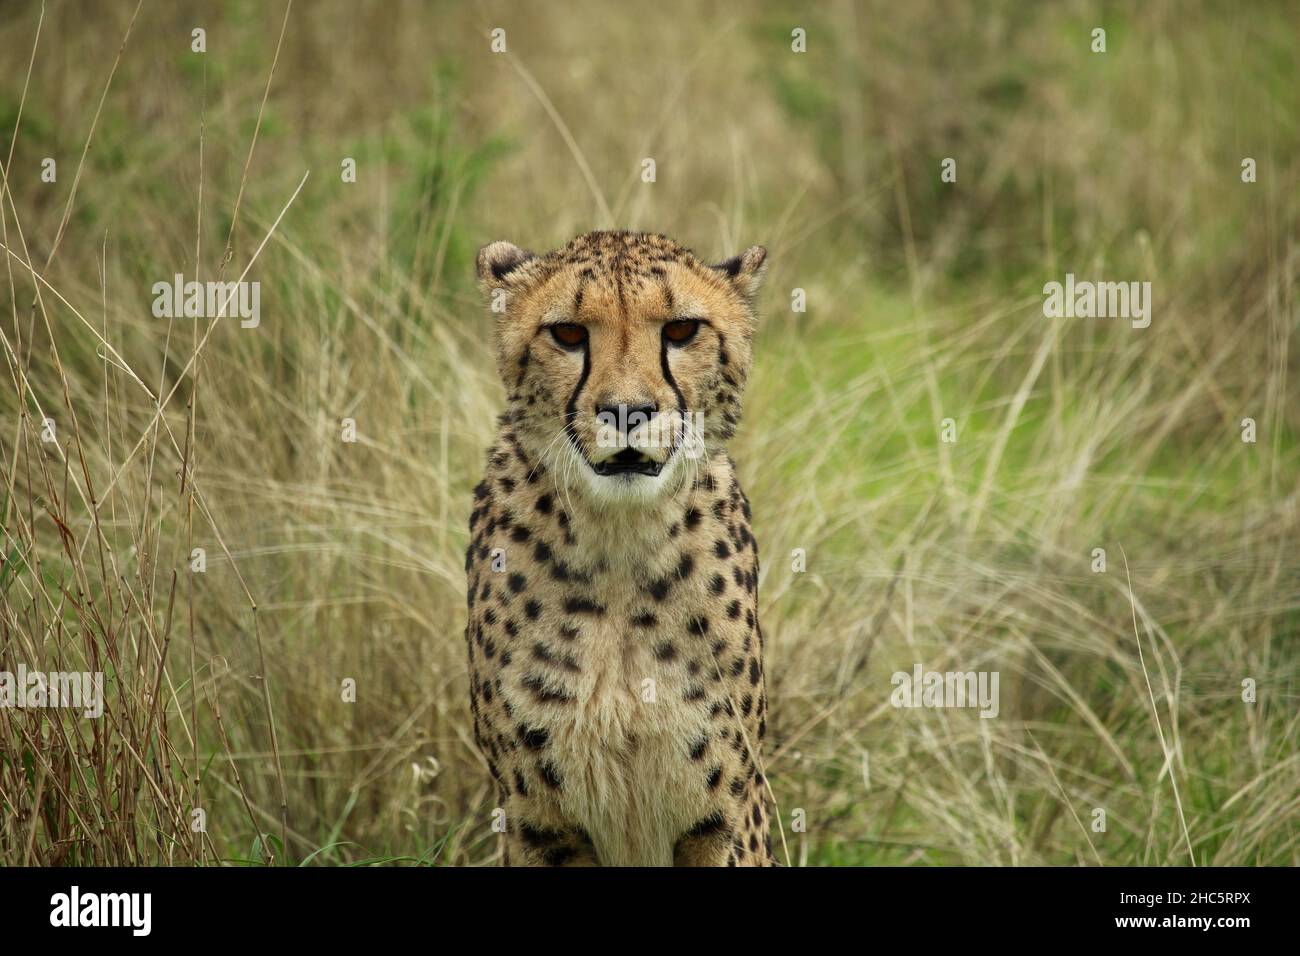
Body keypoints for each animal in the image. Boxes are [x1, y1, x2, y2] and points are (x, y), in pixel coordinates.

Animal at [464, 230, 773, 866]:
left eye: (681, 329)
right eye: (567, 334)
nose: (627, 412)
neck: (620, 550)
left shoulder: (725, 814)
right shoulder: (537, 822)